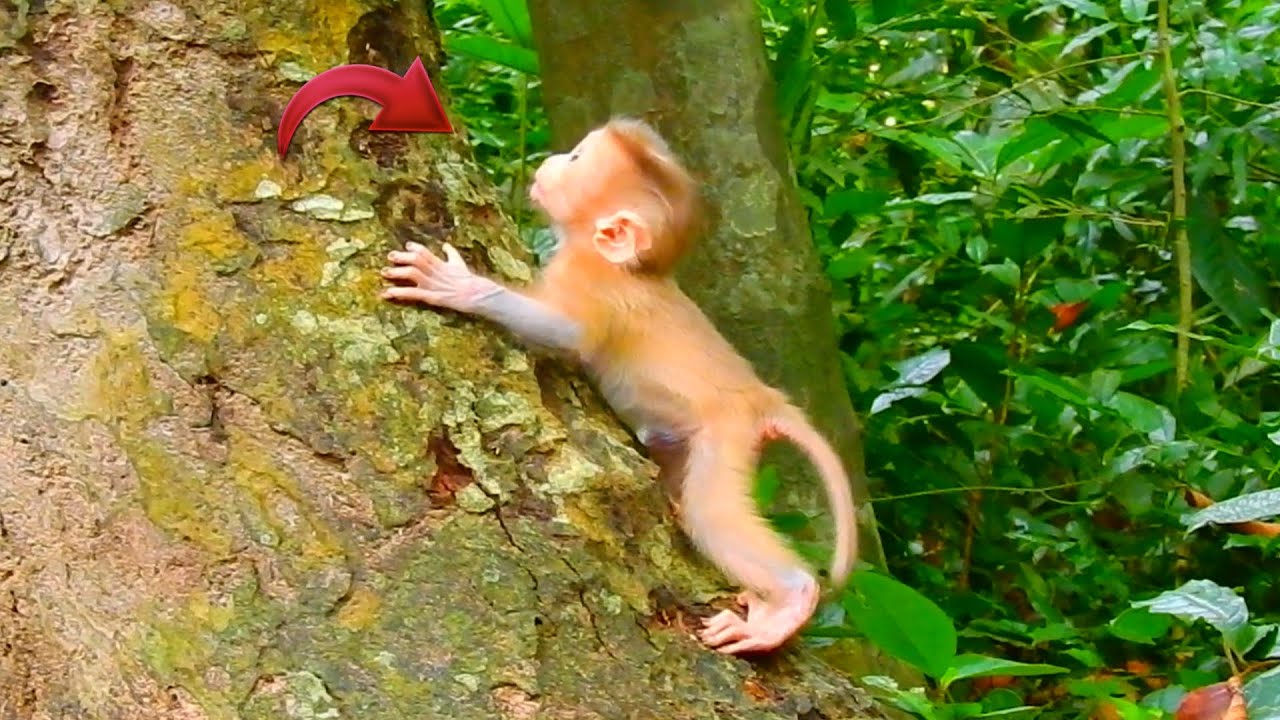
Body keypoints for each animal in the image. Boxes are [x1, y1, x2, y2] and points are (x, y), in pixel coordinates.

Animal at [379, 117, 857, 655]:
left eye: (575, 160)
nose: (551, 160)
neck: (627, 266)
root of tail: (762, 395)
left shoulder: (586, 277)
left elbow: (566, 333)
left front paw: (457, 287)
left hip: (726, 434)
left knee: (712, 514)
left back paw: (792, 598)